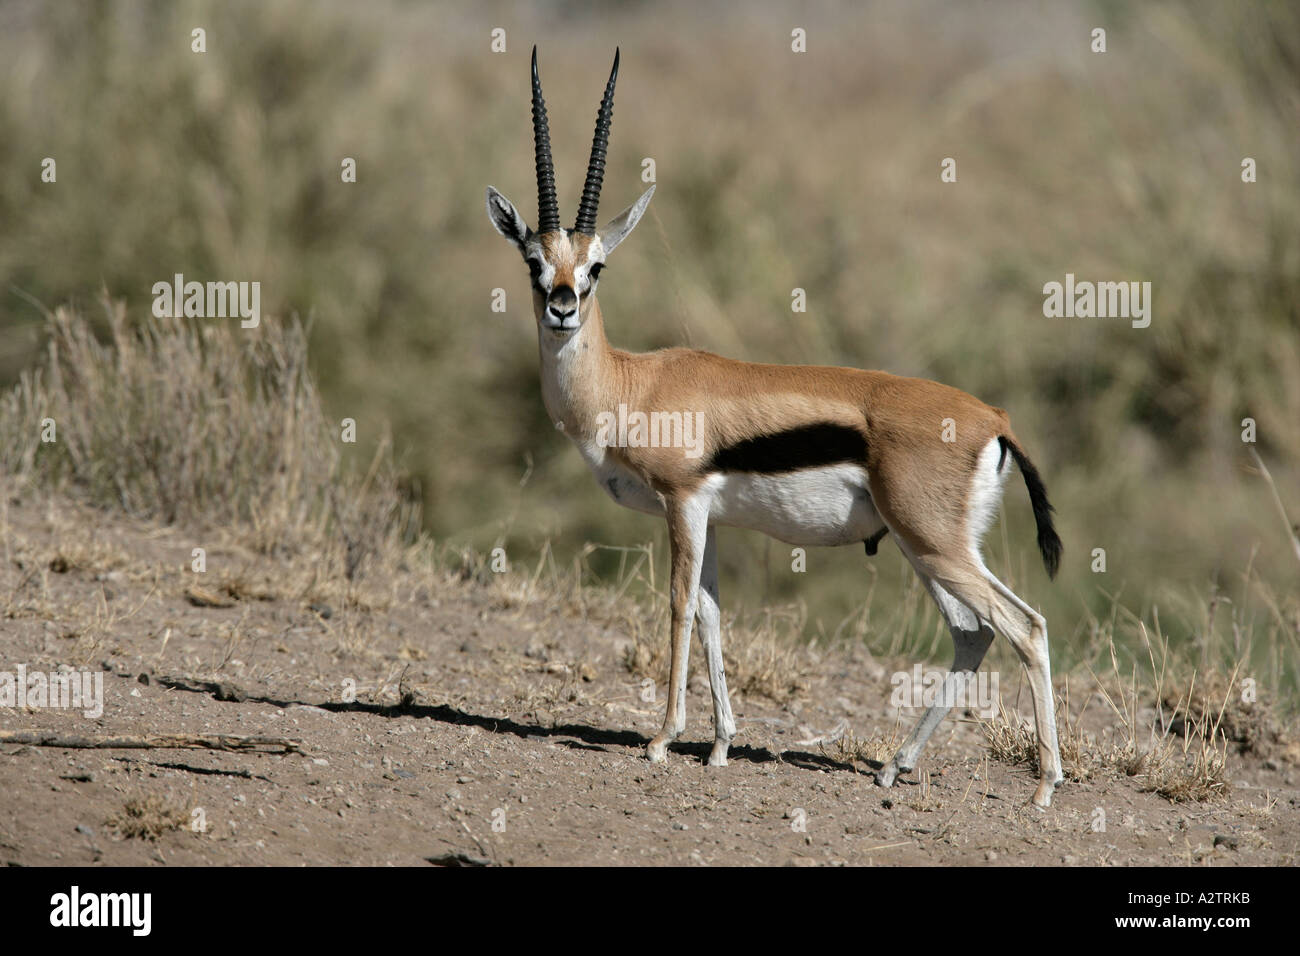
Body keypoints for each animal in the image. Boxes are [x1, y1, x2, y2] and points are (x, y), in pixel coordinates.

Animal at [486, 48, 1066, 807]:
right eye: (534, 262)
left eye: (596, 266)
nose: (561, 308)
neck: (631, 383)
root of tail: (995, 420)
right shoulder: (708, 516)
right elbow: (711, 614)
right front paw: (720, 747)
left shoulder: (682, 504)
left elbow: (679, 606)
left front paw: (662, 740)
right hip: (927, 548)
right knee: (975, 633)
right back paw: (893, 766)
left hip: (934, 544)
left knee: (1025, 625)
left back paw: (1044, 786)